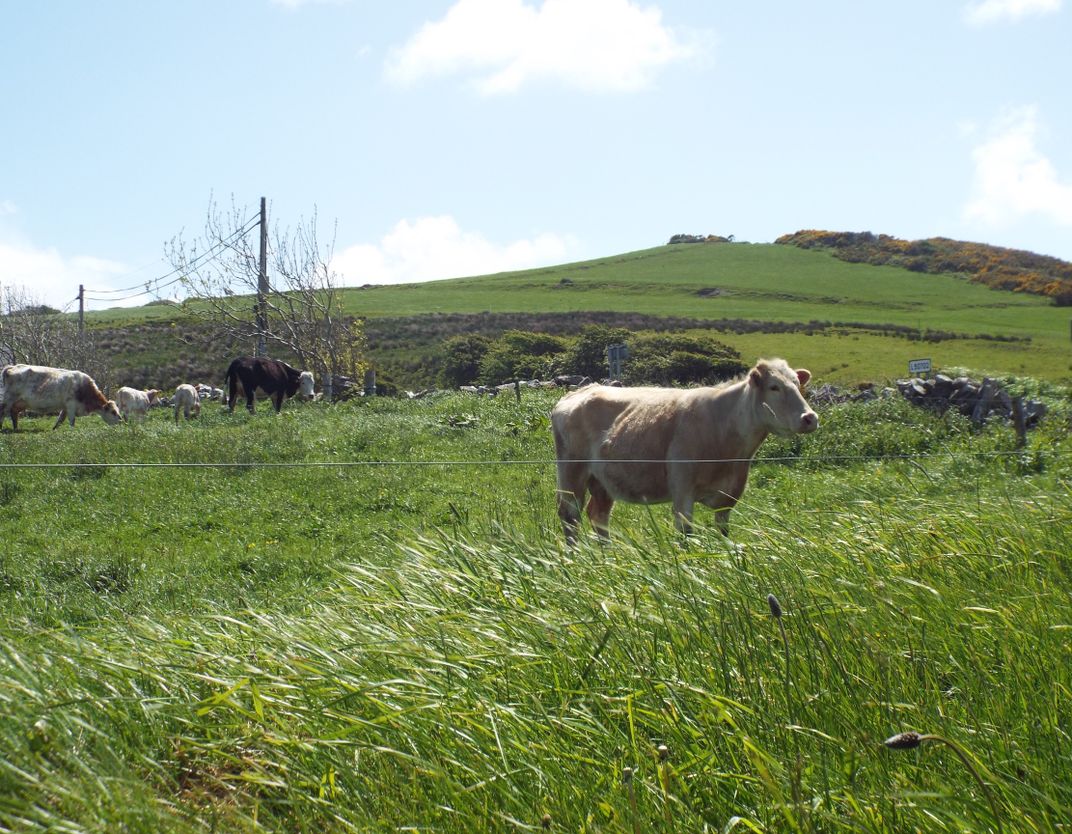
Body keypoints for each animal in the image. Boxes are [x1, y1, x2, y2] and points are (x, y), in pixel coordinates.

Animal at [550, 358, 818, 544]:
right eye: (774, 387)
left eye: (798, 384)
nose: (810, 418)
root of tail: (580, 391)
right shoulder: (683, 492)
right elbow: (686, 536)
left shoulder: (728, 497)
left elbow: (724, 534)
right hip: (572, 473)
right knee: (570, 516)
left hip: (603, 481)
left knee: (599, 516)